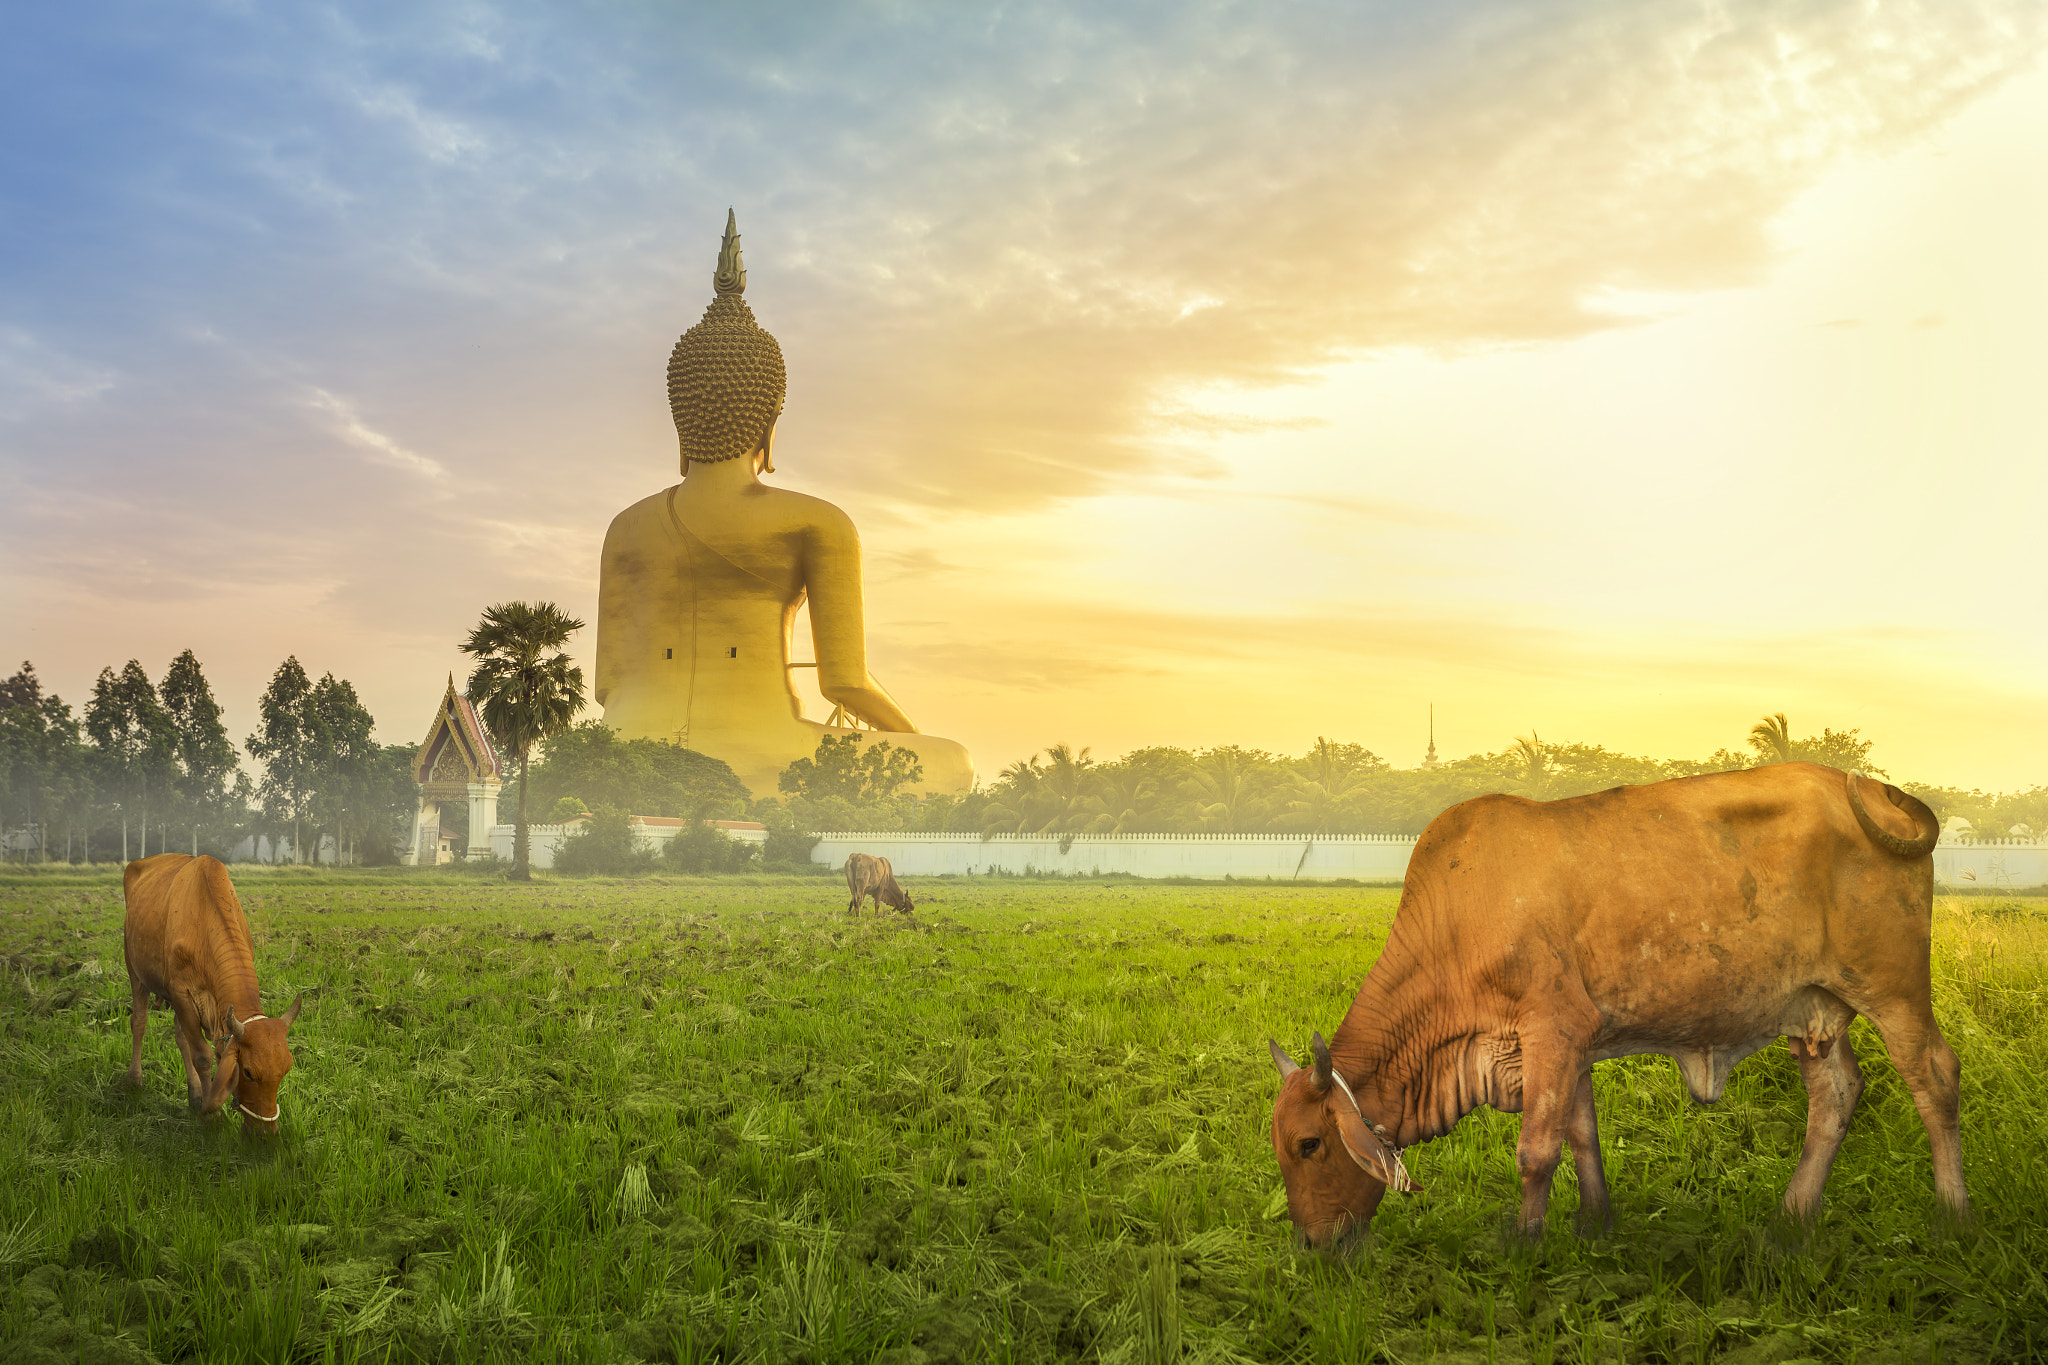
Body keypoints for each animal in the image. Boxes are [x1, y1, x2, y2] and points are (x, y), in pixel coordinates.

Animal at [122, 855, 301, 1129]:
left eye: (285, 1069)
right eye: (248, 1072)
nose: (267, 1131)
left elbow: (202, 1048)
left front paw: (202, 1100)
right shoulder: (182, 994)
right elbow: (203, 1056)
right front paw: (212, 1115)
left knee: (180, 1037)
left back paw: (194, 1093)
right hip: (134, 967)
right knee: (139, 1022)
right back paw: (135, 1080)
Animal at [1261, 765, 1966, 1252]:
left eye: (1308, 1144)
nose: (1313, 1245)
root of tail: (1878, 790)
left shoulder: (1552, 1029)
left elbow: (1536, 1149)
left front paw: (1525, 1241)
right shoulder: (1569, 1044)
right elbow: (1581, 1134)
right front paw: (1595, 1222)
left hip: (1893, 989)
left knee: (1935, 1078)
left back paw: (1953, 1214)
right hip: (1814, 1007)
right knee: (1836, 1094)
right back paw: (1792, 1217)